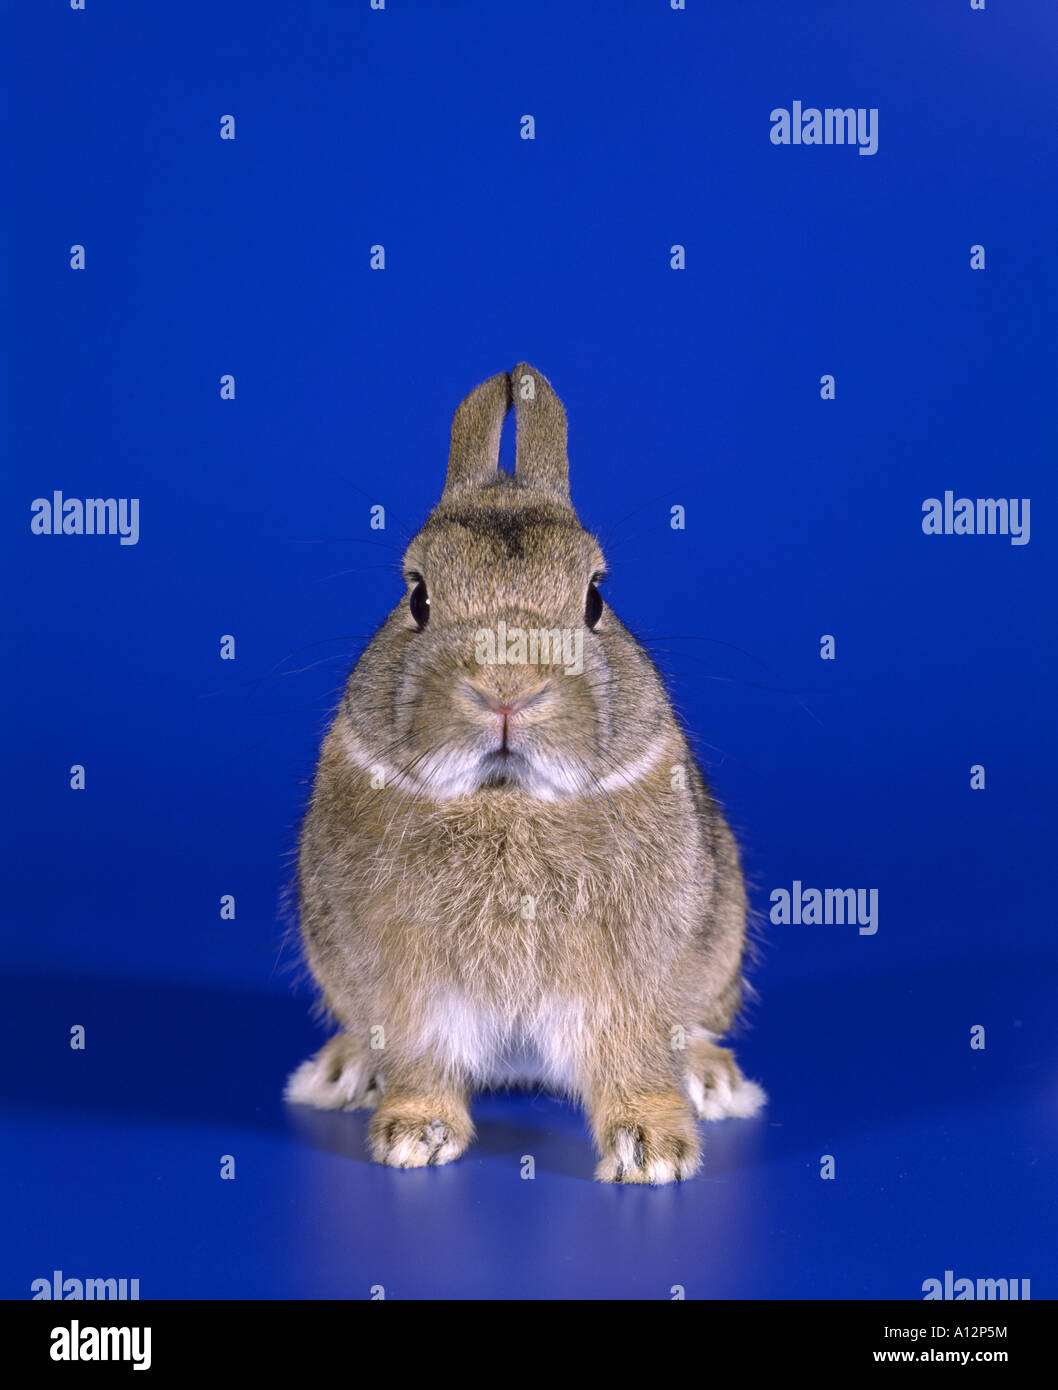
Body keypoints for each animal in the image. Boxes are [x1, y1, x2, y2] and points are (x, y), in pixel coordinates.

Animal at [285, 364, 765, 1183]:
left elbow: (633, 1056)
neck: (505, 800)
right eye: (417, 596)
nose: (506, 687)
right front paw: (414, 1135)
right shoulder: (410, 983)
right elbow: (420, 1052)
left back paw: (712, 1080)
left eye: (596, 598)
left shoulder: (629, 979)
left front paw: (654, 1152)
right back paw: (344, 1072)